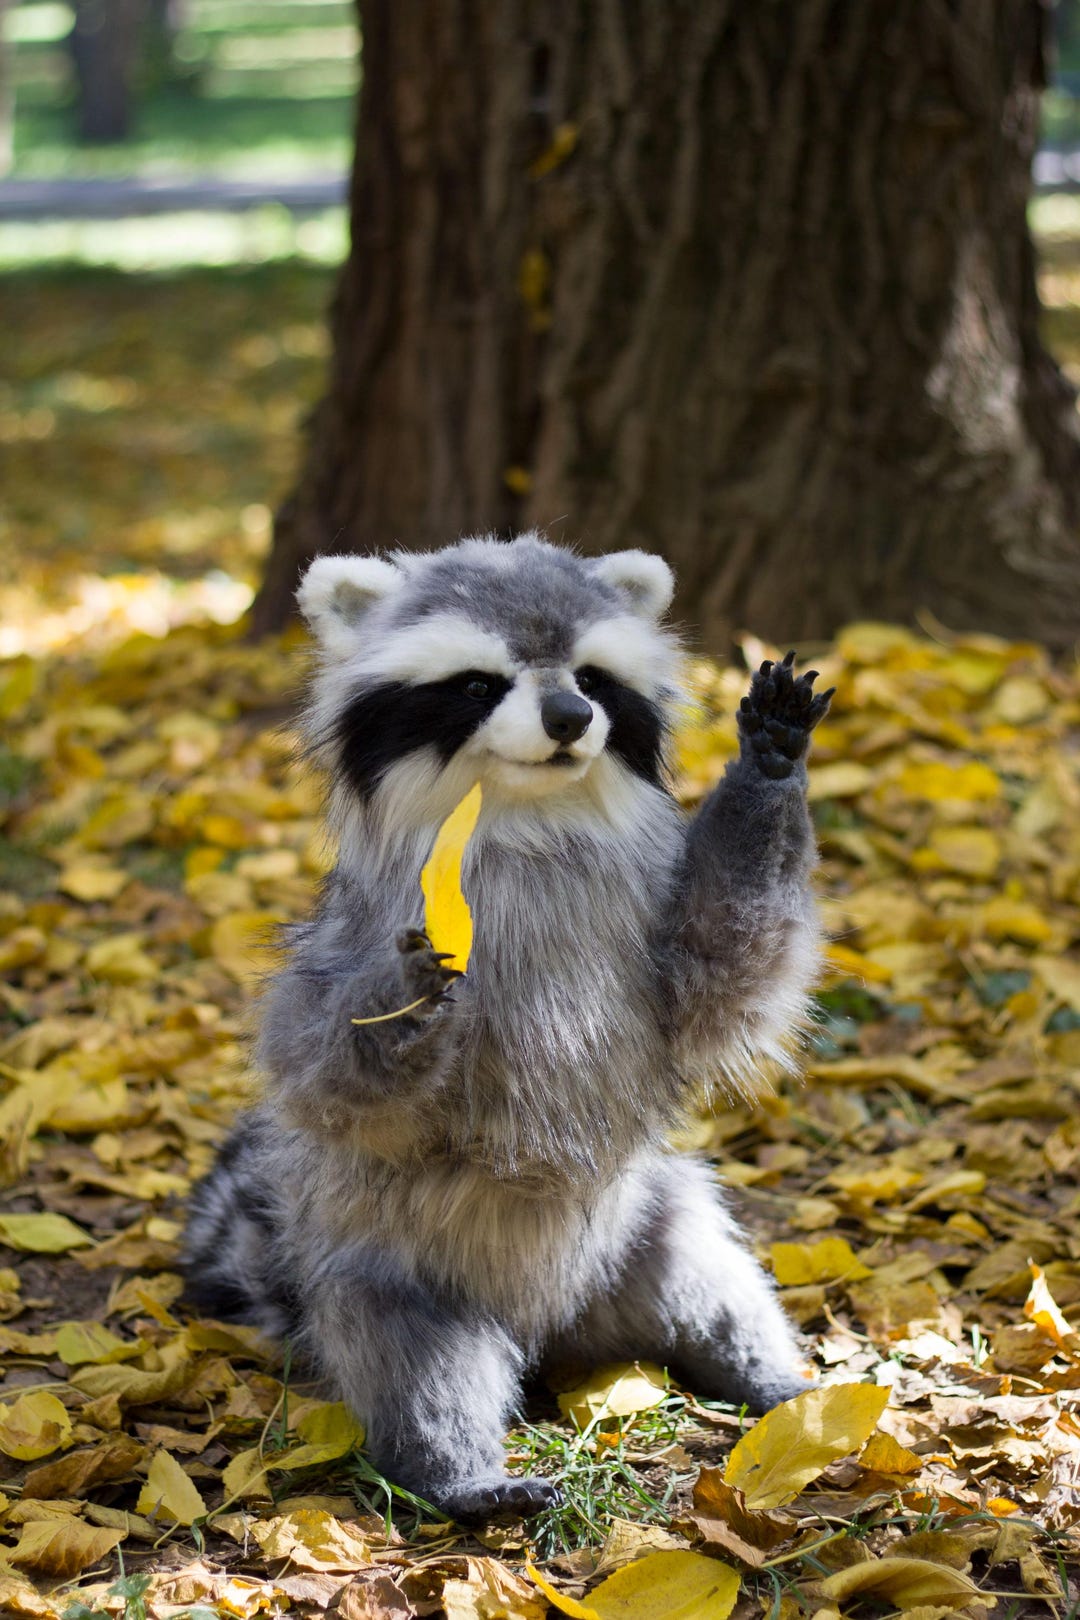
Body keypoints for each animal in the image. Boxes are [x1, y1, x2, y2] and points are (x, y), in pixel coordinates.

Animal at [184, 533, 832, 1520]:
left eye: (591, 678)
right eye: (478, 684)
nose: (570, 715)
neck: (522, 815)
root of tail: (553, 1329)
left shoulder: (654, 931)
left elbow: (729, 970)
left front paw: (765, 775)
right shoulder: (356, 933)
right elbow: (317, 1072)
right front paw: (404, 1002)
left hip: (645, 1216)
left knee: (714, 1277)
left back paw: (766, 1374)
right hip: (388, 1253)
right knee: (413, 1356)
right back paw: (451, 1469)